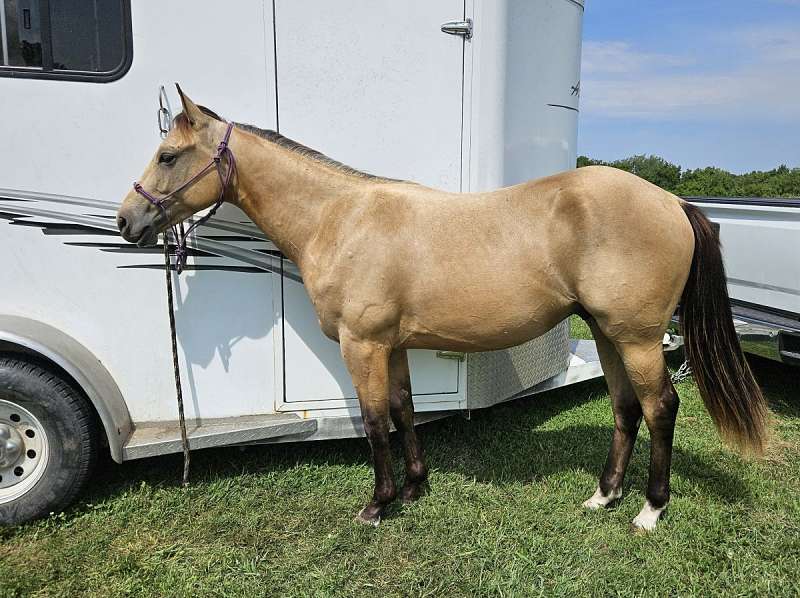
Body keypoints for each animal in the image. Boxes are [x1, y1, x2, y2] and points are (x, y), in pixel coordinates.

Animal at [117, 89, 768, 531]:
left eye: (168, 155)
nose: (128, 221)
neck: (341, 217)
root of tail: (671, 201)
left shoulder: (363, 344)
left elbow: (373, 421)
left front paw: (376, 504)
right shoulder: (393, 346)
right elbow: (403, 411)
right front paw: (412, 489)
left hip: (637, 338)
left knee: (661, 409)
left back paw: (649, 511)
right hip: (609, 334)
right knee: (626, 409)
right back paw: (604, 495)